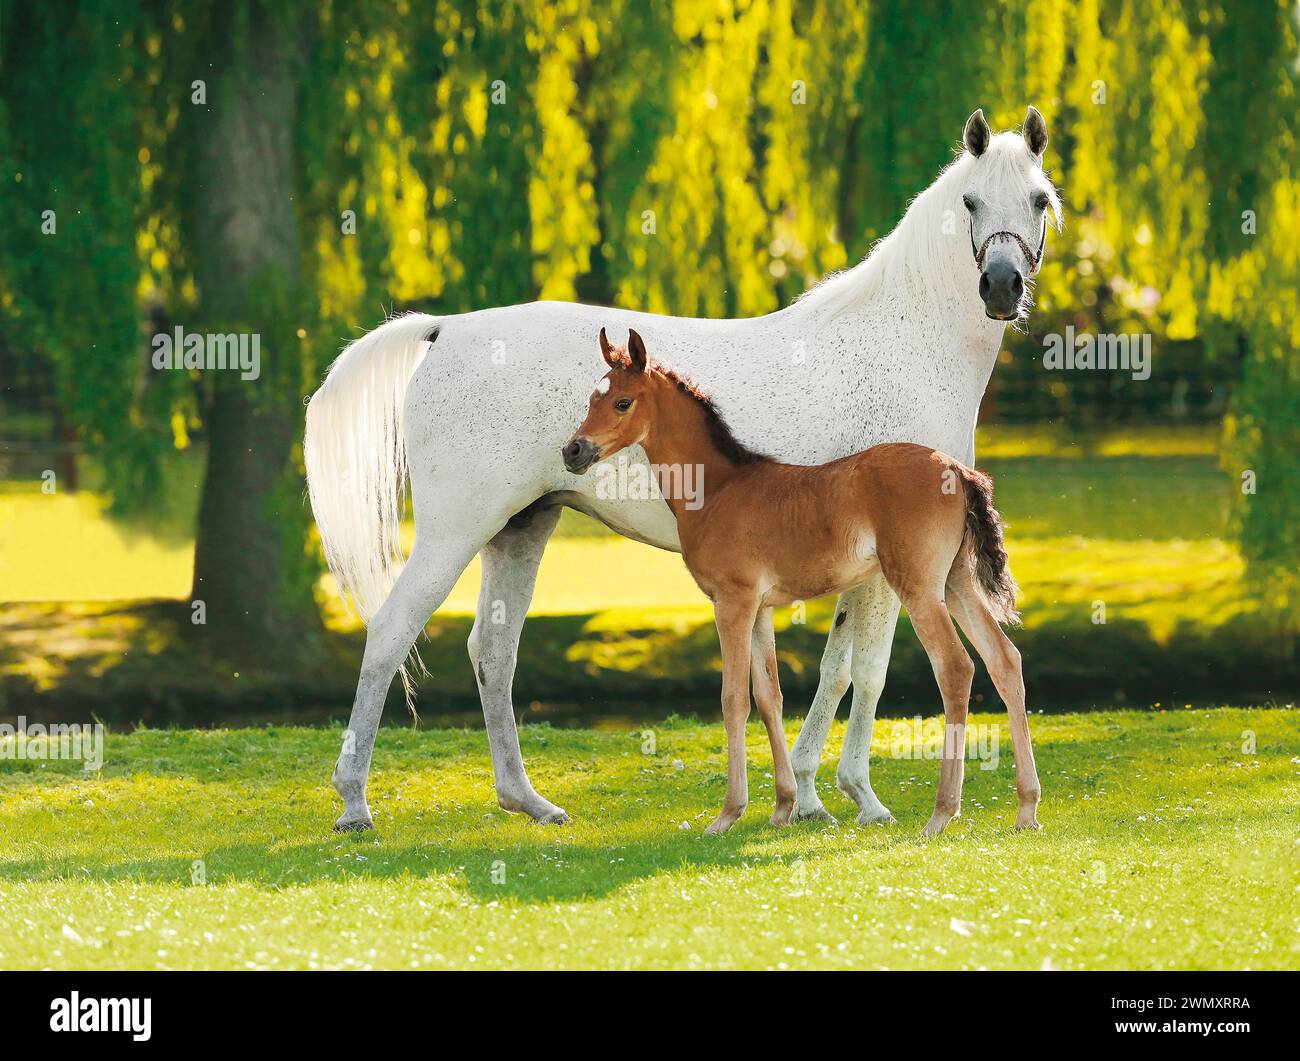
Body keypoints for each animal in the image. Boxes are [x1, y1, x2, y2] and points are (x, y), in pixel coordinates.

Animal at [563, 328, 1040, 836]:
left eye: (622, 402)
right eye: (592, 398)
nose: (572, 451)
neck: (719, 488)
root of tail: (959, 471)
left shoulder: (732, 603)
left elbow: (733, 699)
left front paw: (728, 815)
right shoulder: (760, 609)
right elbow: (769, 696)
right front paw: (783, 807)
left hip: (919, 587)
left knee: (955, 667)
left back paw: (941, 813)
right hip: (956, 582)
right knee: (1004, 660)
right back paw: (1027, 809)